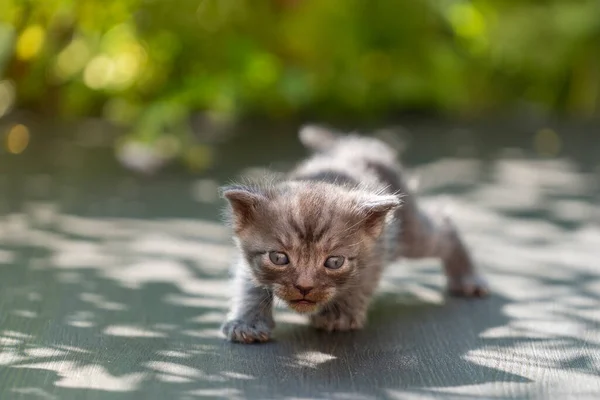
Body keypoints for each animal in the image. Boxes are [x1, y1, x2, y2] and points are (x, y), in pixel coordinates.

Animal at [220, 126, 488, 344]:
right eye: (279, 258)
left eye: (334, 262)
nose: (304, 287)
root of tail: (354, 144)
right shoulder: (248, 258)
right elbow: (248, 284)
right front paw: (247, 322)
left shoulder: (378, 249)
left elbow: (362, 283)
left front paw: (340, 315)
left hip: (409, 232)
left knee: (445, 227)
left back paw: (468, 279)